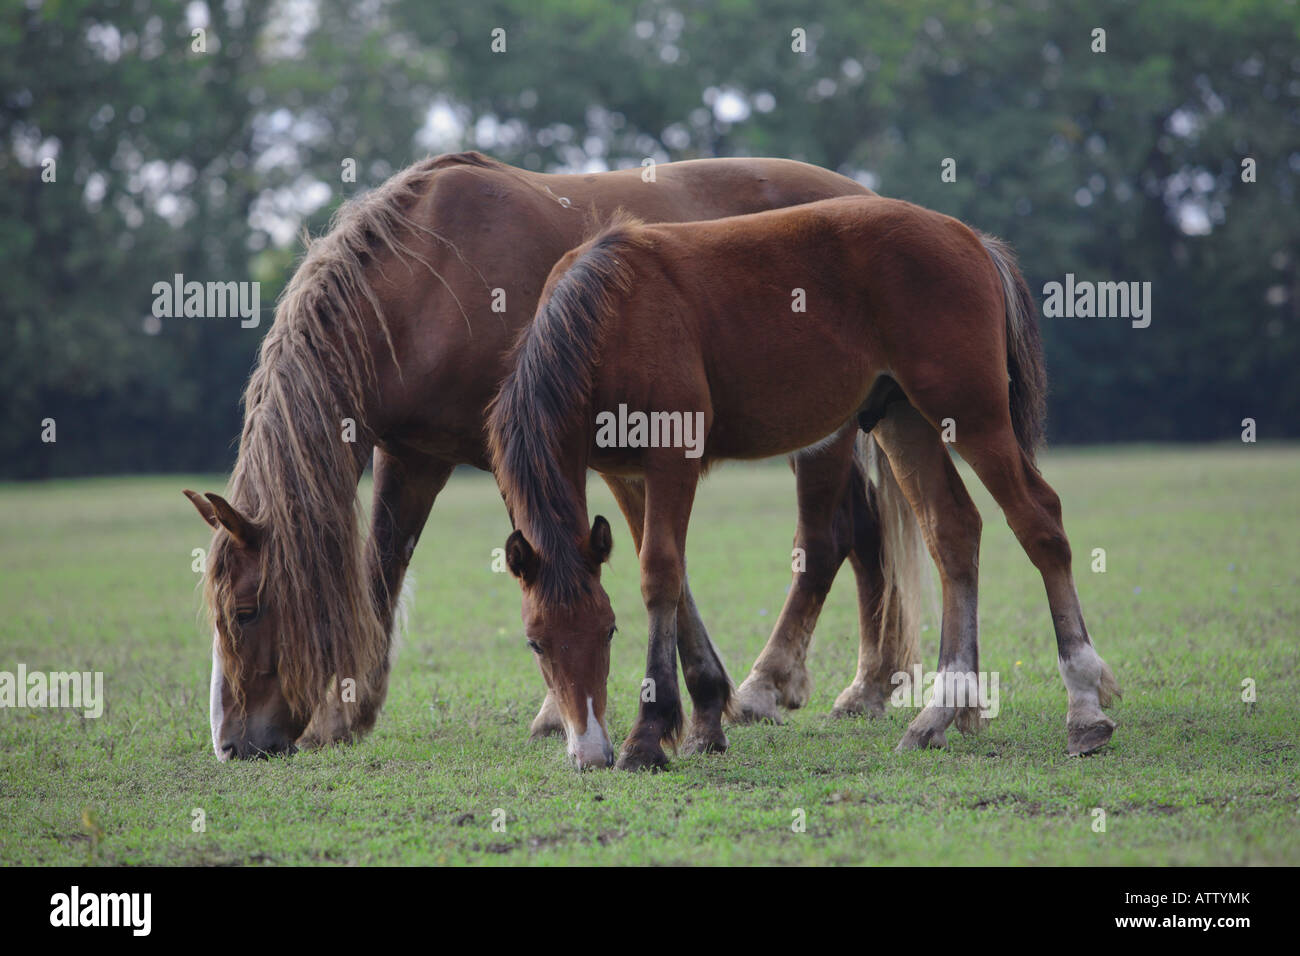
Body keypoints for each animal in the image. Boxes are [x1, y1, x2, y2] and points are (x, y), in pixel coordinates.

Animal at [182, 152, 927, 764]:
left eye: (245, 611)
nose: (231, 745)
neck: (424, 283)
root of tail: (866, 196)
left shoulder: (522, 449)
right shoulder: (412, 456)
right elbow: (382, 569)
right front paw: (349, 711)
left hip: (823, 435)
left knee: (824, 542)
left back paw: (771, 684)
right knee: (865, 536)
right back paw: (867, 685)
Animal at [487, 195, 1121, 769]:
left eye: (610, 632)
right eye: (535, 641)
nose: (588, 752)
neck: (612, 314)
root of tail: (970, 238)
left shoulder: (672, 457)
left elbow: (659, 576)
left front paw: (647, 738)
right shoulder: (623, 473)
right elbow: (672, 574)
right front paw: (703, 724)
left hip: (973, 413)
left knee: (1038, 519)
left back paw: (1084, 707)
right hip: (905, 420)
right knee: (953, 532)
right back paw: (935, 714)